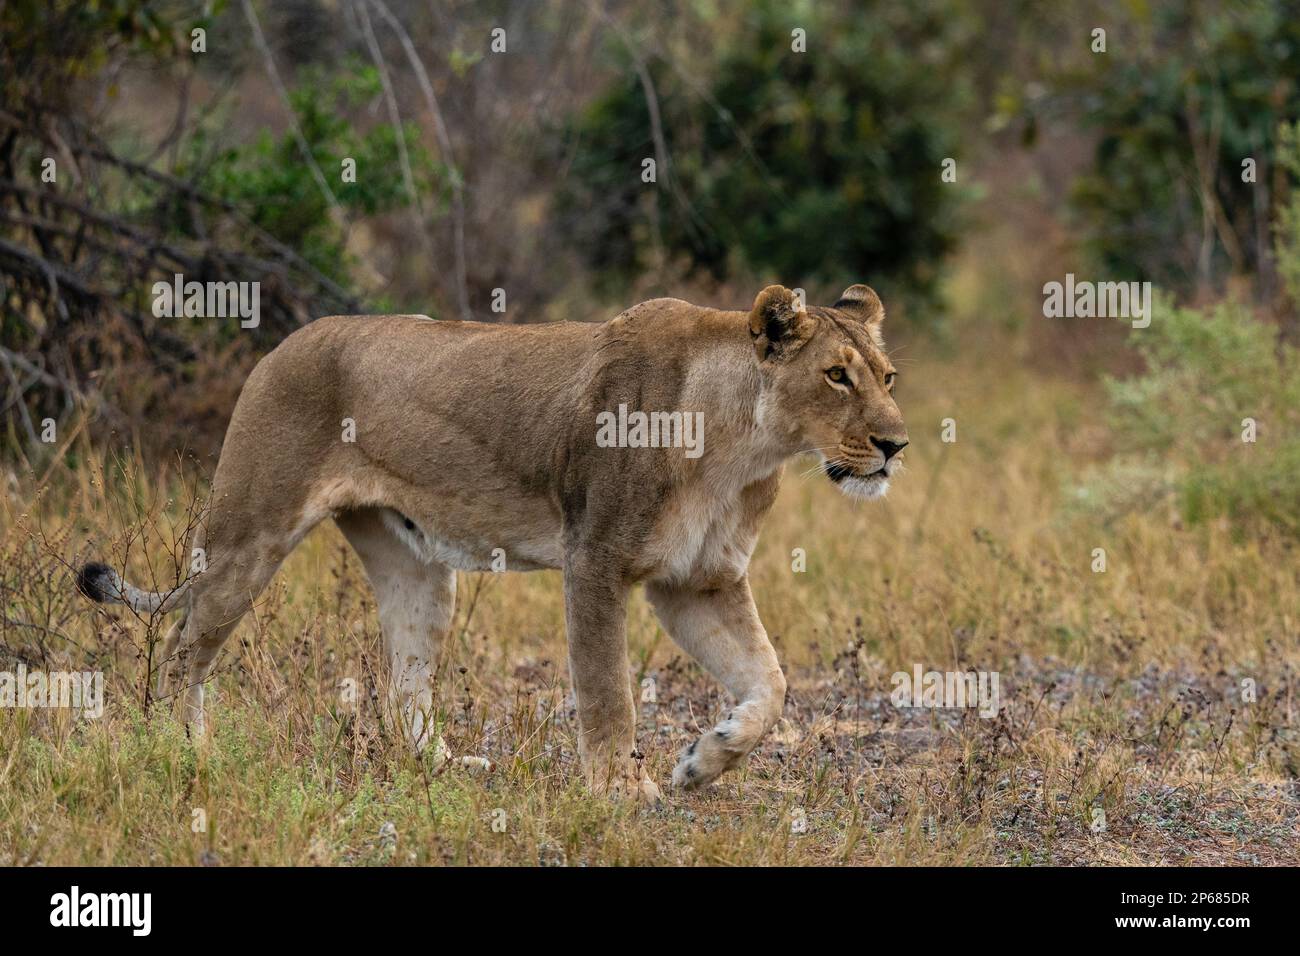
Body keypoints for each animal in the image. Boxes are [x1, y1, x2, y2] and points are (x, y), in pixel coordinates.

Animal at [76, 283, 908, 801]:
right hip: (250, 530)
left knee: (403, 687)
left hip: (413, 567)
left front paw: (704, 763)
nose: (896, 445)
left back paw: (450, 769)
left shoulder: (698, 581)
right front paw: (620, 789)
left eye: (888, 375)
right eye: (837, 376)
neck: (745, 446)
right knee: (183, 650)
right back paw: (181, 752)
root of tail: (282, 345)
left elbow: (771, 683)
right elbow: (607, 692)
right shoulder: (596, 561)